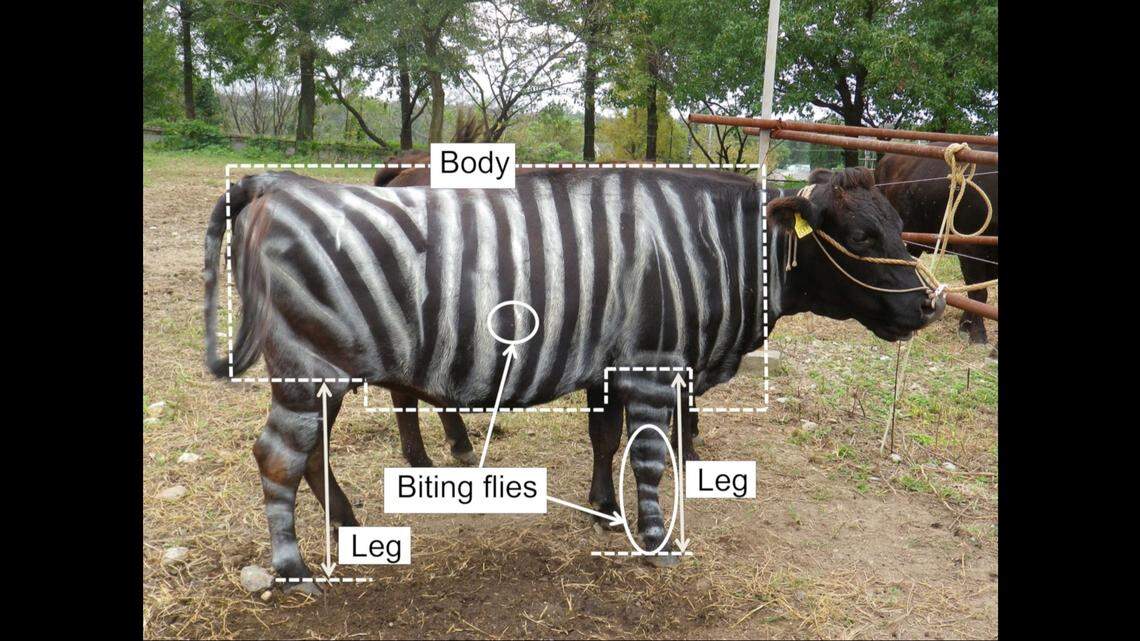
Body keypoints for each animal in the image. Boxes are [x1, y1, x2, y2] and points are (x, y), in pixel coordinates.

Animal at [203, 166, 944, 591]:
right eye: (863, 238)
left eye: (901, 231)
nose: (932, 307)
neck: (708, 246)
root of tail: (276, 184)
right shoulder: (649, 364)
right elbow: (648, 456)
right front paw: (655, 542)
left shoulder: (610, 364)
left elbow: (604, 439)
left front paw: (605, 512)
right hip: (312, 366)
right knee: (278, 456)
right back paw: (294, 570)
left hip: (328, 370)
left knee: (310, 454)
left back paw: (347, 527)